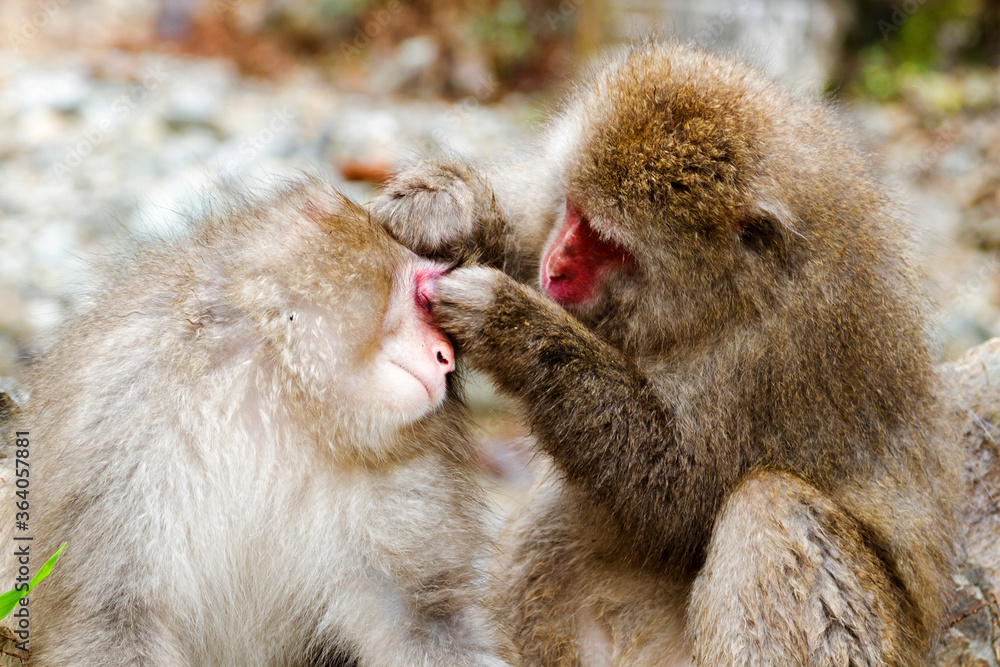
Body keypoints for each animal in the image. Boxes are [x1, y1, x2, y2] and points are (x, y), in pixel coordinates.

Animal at [0, 179, 514, 667]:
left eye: (448, 327)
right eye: (426, 299)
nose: (445, 359)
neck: (284, 390)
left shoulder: (411, 470)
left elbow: (422, 619)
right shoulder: (119, 412)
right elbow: (113, 617)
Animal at [371, 42, 961, 666]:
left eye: (609, 245)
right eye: (574, 212)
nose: (556, 268)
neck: (731, 293)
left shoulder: (783, 352)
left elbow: (677, 496)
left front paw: (507, 320)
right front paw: (445, 208)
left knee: (772, 504)